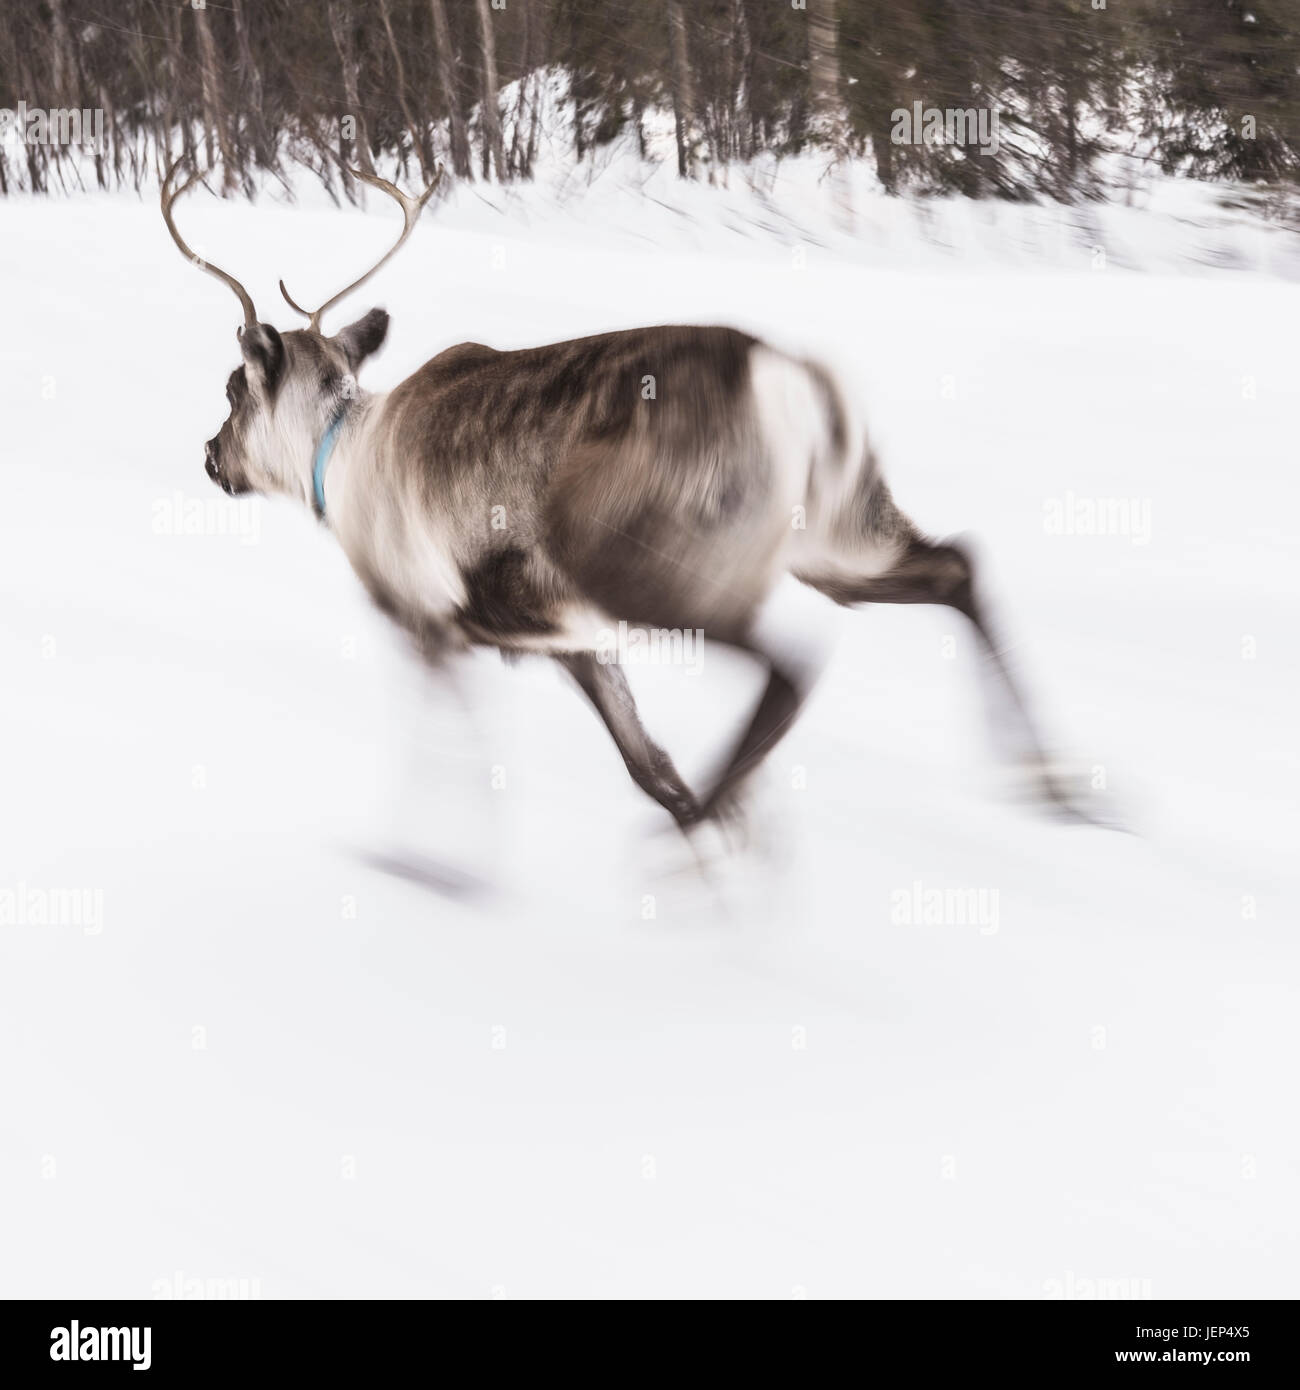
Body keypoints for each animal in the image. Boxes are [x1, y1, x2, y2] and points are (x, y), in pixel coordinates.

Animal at [162, 158, 1088, 844]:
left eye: (233, 388)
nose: (209, 457)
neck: (342, 457)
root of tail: (789, 378)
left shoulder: (431, 623)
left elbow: (454, 752)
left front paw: (423, 865)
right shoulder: (569, 638)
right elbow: (648, 765)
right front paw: (734, 850)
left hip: (657, 572)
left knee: (792, 662)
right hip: (837, 537)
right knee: (955, 566)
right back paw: (1058, 789)